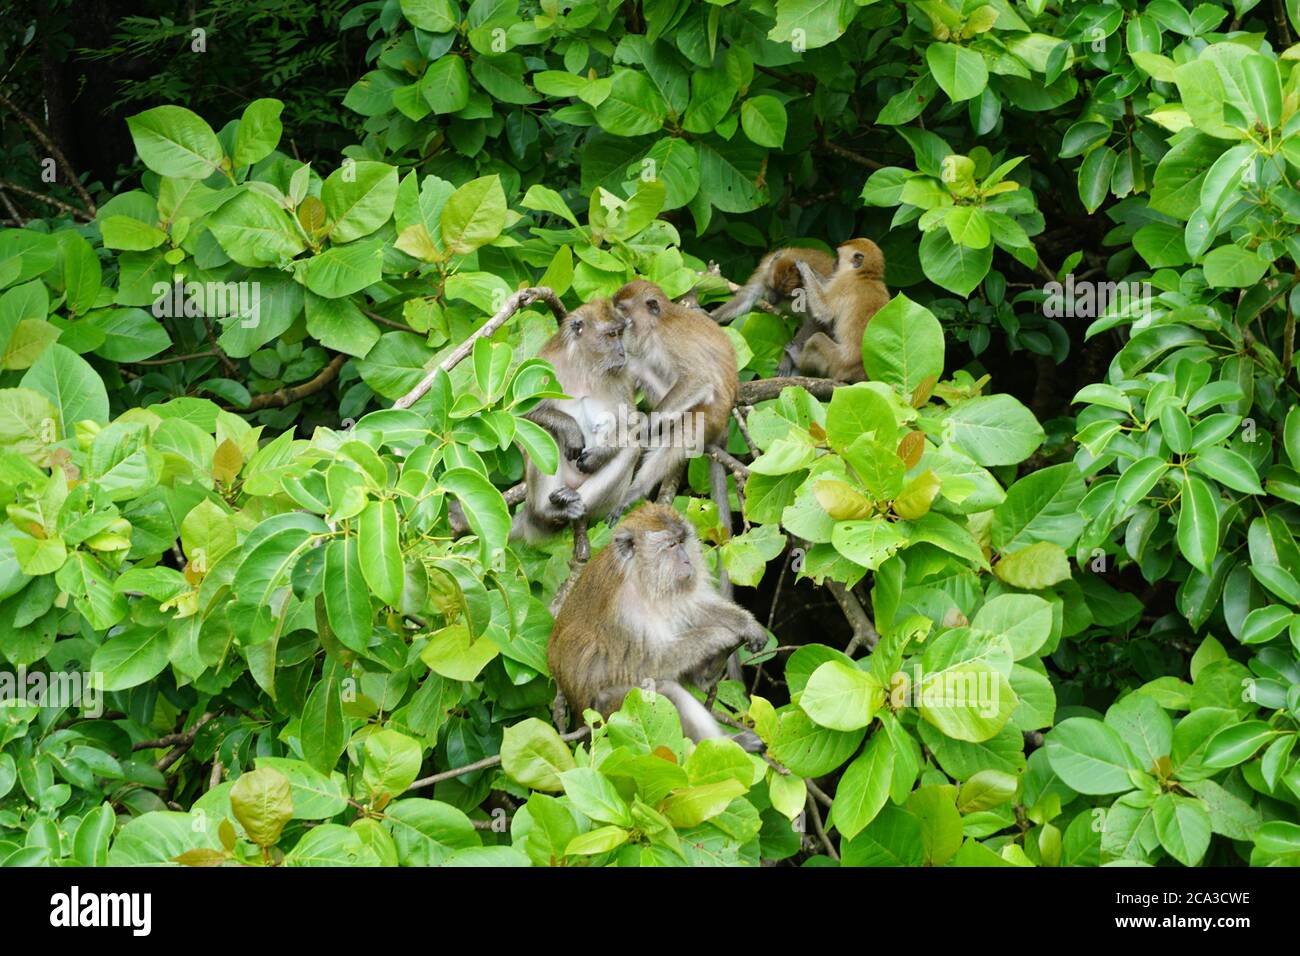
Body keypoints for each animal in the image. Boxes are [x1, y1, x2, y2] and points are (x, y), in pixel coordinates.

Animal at [510, 299, 640, 544]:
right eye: (611, 335)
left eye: (620, 333)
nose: (622, 352)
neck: (585, 365)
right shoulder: (545, 364)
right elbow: (520, 416)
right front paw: (569, 429)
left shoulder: (622, 375)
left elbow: (631, 426)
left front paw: (598, 456)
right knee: (547, 434)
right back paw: (549, 511)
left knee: (631, 449)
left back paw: (573, 500)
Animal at [548, 503, 769, 751]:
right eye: (671, 545)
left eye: (682, 541)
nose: (687, 561)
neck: (642, 580)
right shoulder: (625, 616)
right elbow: (651, 665)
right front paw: (722, 635)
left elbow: (696, 630)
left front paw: (744, 625)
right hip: (607, 716)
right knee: (662, 689)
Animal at [609, 280, 738, 518]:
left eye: (622, 309)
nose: (615, 326)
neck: (656, 326)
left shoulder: (671, 339)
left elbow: (699, 377)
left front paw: (644, 426)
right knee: (637, 365)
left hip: (711, 416)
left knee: (682, 433)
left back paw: (637, 490)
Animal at [789, 237, 889, 384]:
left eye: (838, 256)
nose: (834, 264)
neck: (864, 276)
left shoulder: (844, 282)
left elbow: (824, 310)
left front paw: (804, 268)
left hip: (837, 363)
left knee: (817, 339)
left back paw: (797, 359)